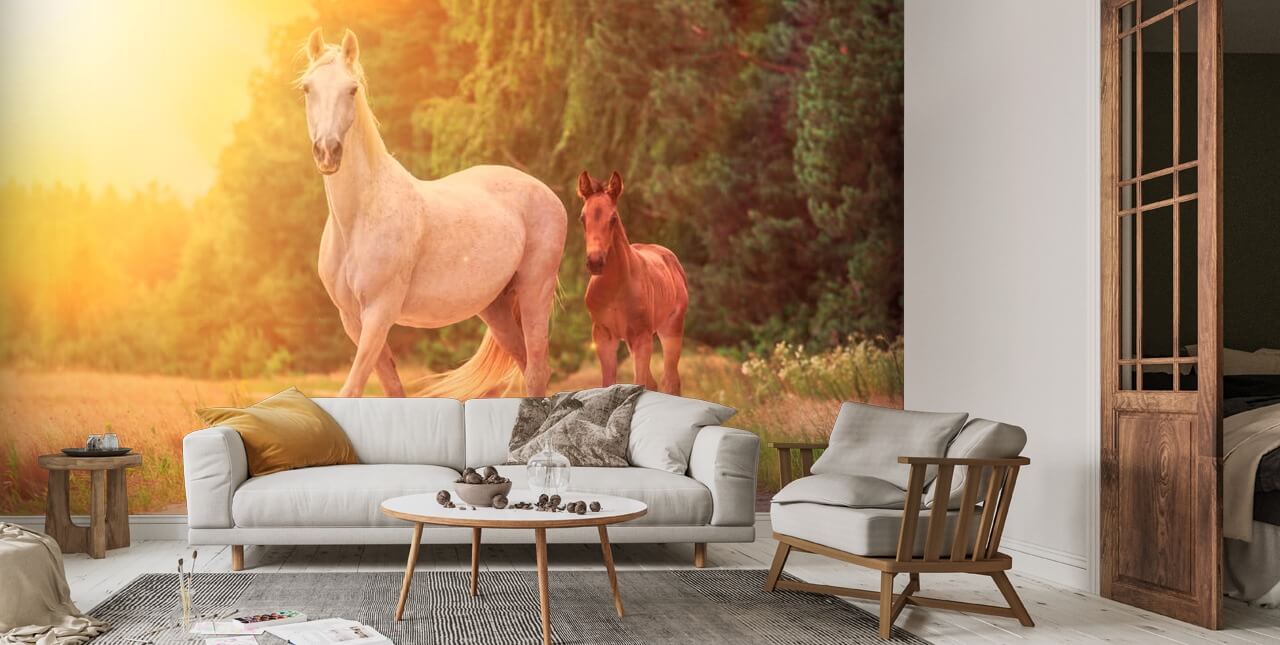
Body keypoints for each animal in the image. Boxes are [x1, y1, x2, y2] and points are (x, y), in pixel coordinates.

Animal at [300, 29, 566, 398]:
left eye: (351, 89)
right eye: (307, 88)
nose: (327, 151)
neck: (358, 219)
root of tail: (545, 192)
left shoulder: (379, 313)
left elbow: (352, 389)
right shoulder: (352, 319)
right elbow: (392, 391)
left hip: (534, 290)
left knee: (537, 371)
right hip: (495, 308)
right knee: (528, 367)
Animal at [576, 170, 688, 394]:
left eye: (613, 219)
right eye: (583, 218)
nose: (595, 262)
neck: (615, 289)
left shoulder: (641, 337)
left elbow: (640, 382)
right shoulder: (604, 337)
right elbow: (608, 383)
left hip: (671, 329)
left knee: (670, 380)